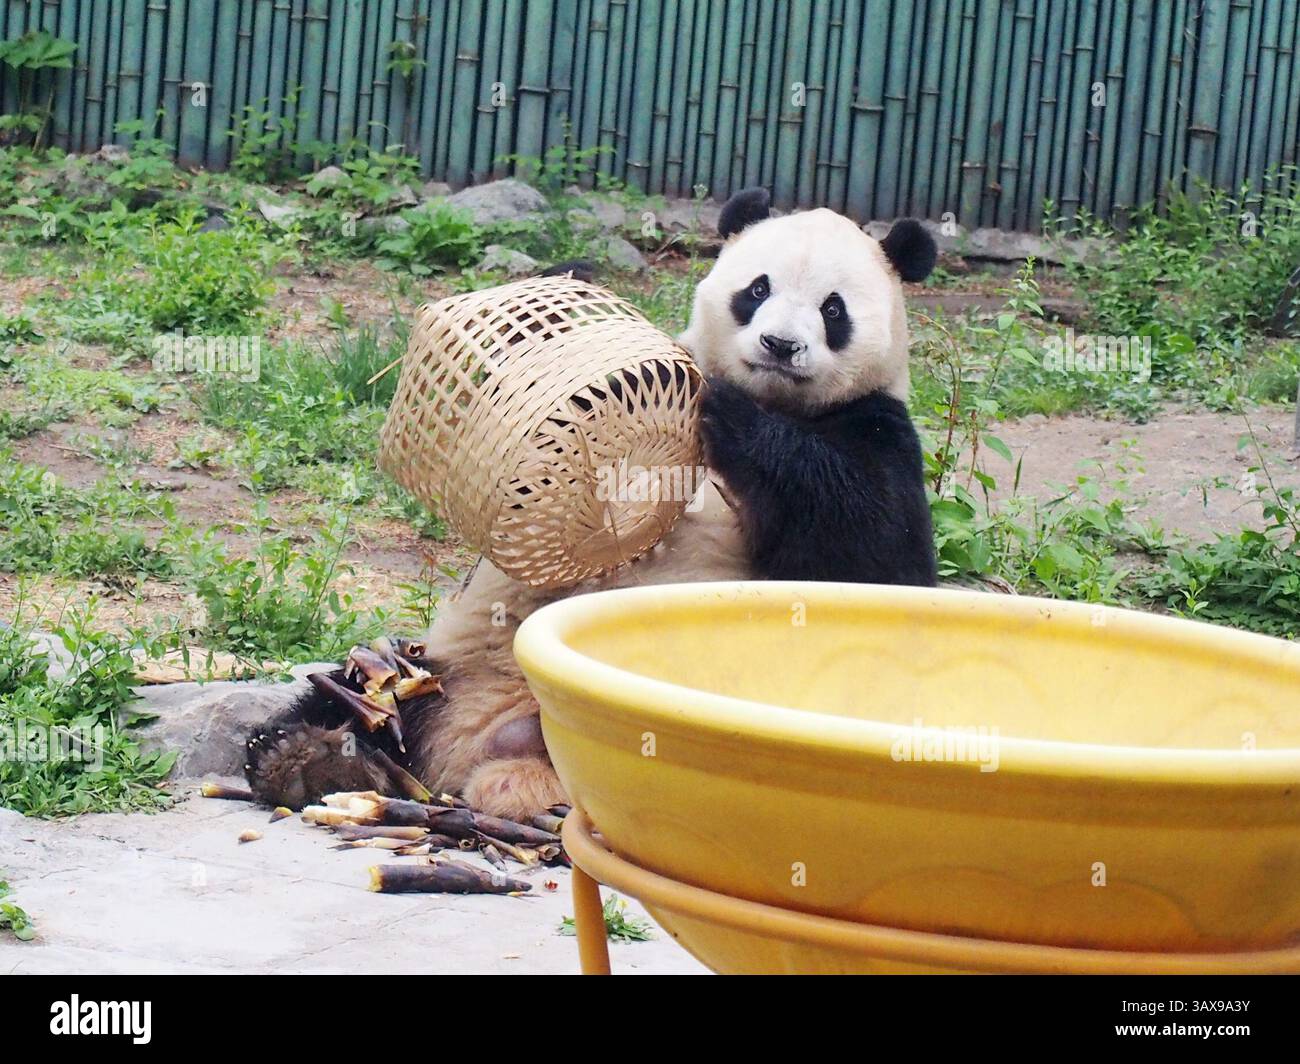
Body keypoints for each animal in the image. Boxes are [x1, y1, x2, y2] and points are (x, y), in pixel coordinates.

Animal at [245, 188, 938, 821]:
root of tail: (480, 760)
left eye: (833, 308)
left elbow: (874, 559)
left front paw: (730, 416)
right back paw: (309, 758)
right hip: (446, 670)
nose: (779, 344)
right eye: (757, 289)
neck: (775, 398)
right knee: (361, 687)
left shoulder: (879, 428)